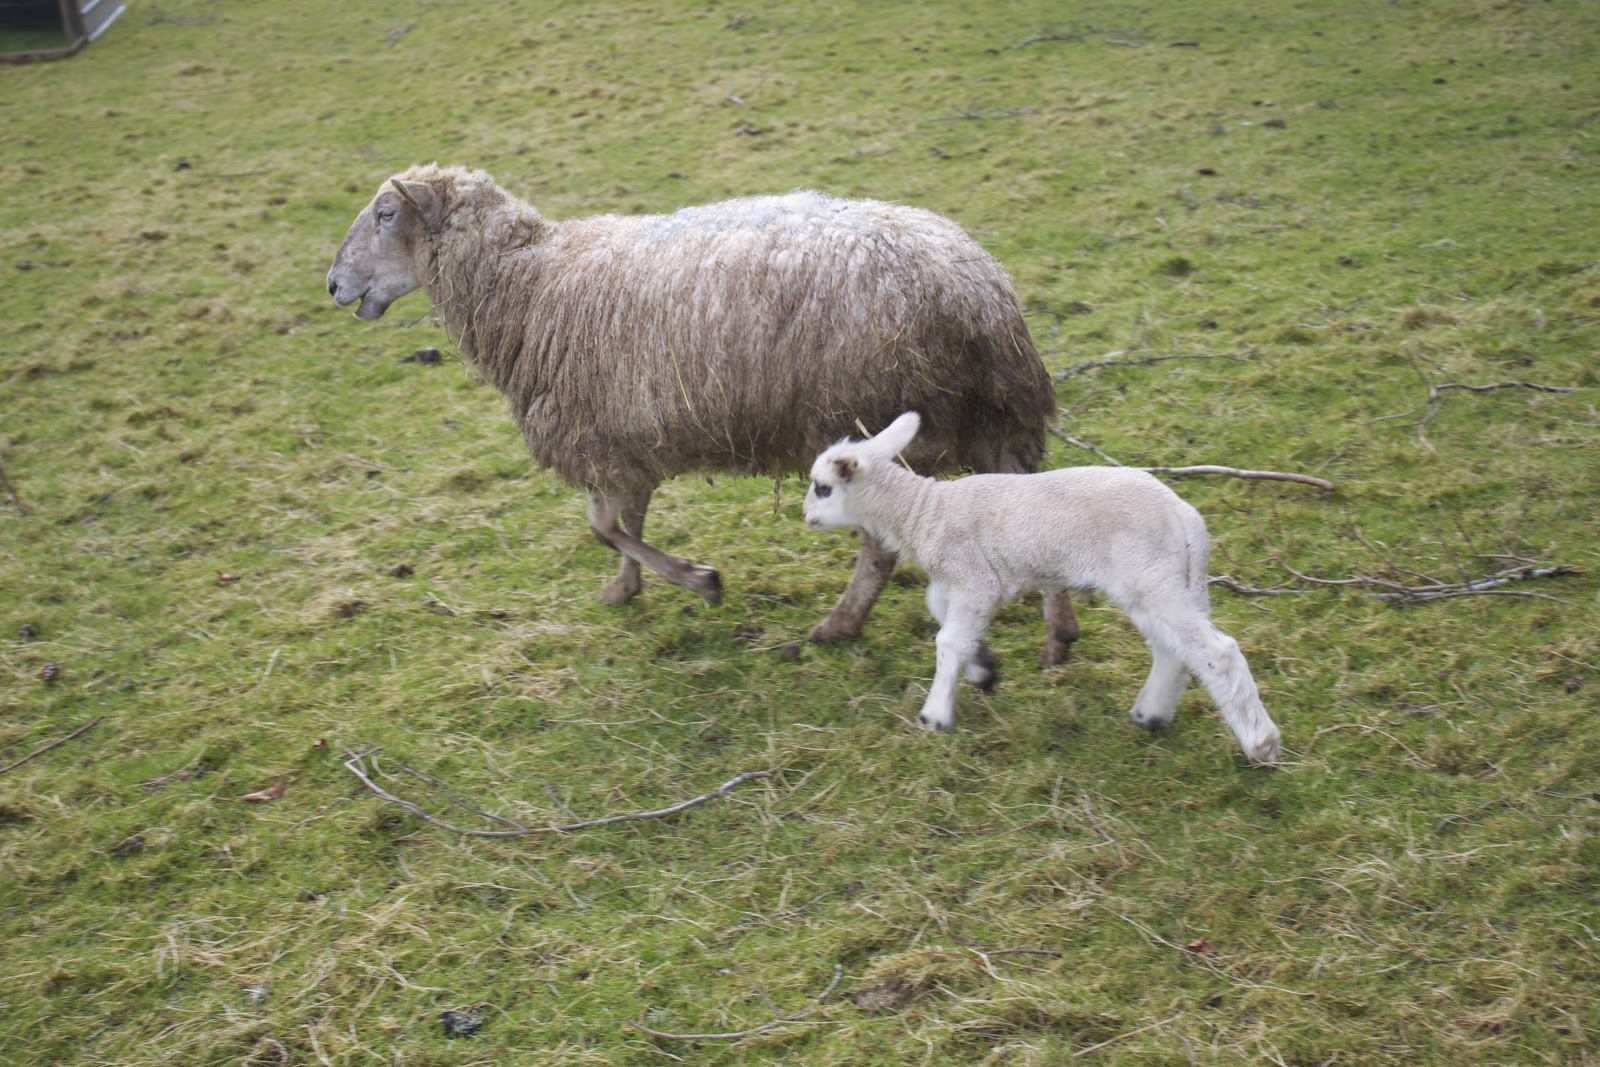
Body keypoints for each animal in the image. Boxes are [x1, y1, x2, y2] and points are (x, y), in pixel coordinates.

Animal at [326, 164, 1079, 662]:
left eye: (386, 215)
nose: (333, 285)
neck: (530, 280)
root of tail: (977, 292)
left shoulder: (600, 437)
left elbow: (604, 524)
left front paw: (699, 580)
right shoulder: (627, 439)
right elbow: (622, 523)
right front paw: (626, 588)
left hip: (881, 416)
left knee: (879, 547)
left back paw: (839, 625)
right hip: (997, 417)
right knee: (1031, 499)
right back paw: (1060, 632)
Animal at [802, 411, 1282, 765]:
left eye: (822, 488)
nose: (805, 517)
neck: (923, 512)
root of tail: (1187, 517)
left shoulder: (973, 578)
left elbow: (948, 640)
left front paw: (935, 715)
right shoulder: (970, 579)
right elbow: (941, 612)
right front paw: (983, 668)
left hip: (1151, 576)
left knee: (1216, 652)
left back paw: (1260, 744)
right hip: (1160, 580)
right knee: (1173, 649)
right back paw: (1151, 713)